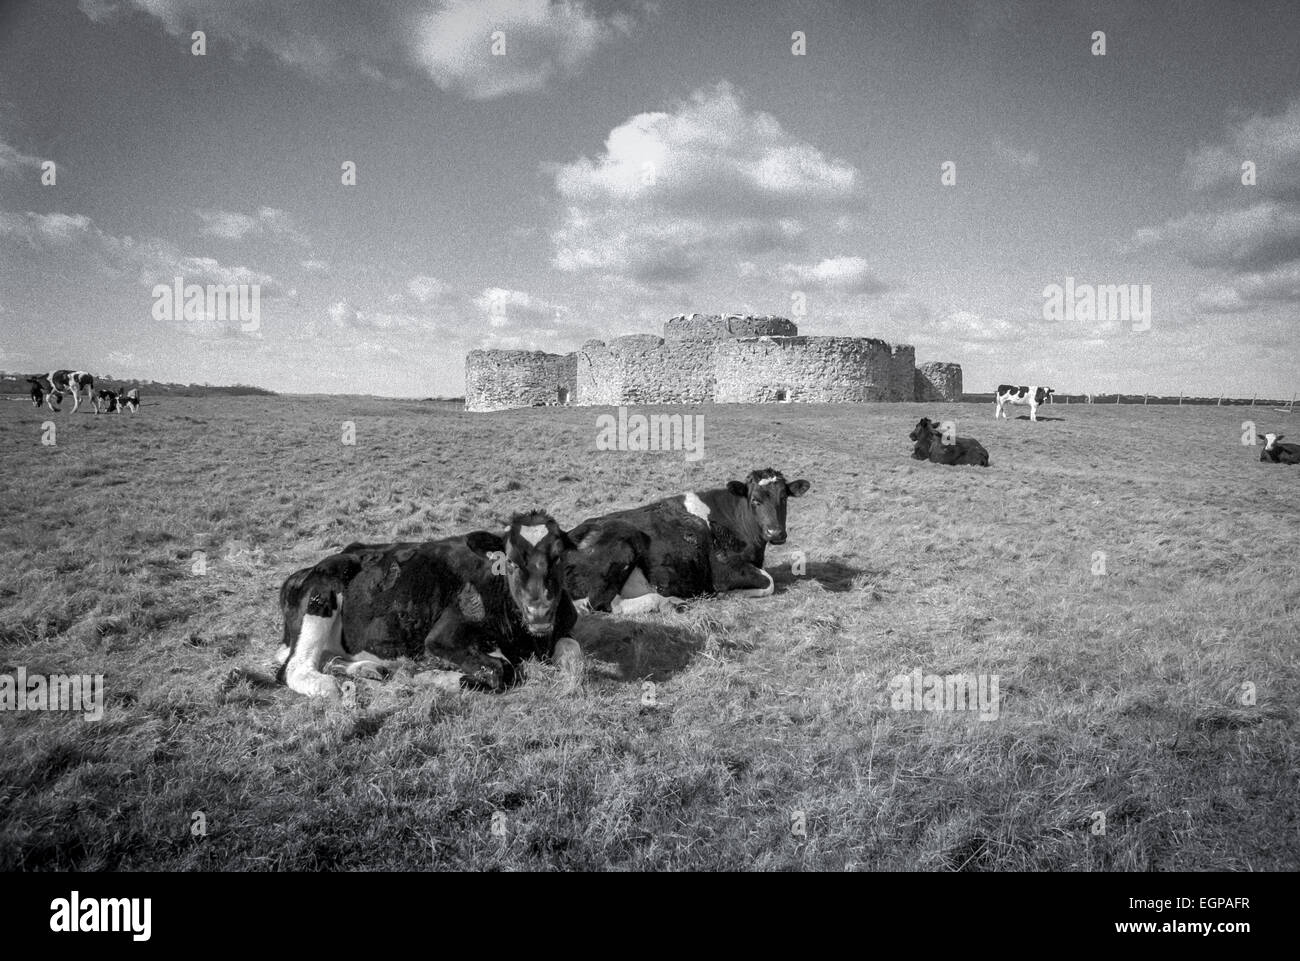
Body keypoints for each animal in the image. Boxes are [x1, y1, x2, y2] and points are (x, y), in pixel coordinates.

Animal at [275, 511, 582, 699]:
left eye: (559, 557)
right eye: (511, 561)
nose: (539, 611)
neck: (527, 641)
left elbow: (574, 656)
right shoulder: (441, 637)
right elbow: (500, 670)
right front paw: (430, 676)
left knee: (328, 658)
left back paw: (367, 669)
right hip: (321, 595)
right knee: (293, 668)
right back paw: (331, 685)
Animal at [561, 467, 811, 615]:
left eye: (784, 498)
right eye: (755, 500)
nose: (776, 533)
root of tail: (568, 534)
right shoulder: (724, 571)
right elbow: (769, 582)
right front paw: (724, 595)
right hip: (621, 547)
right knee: (603, 604)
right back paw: (666, 601)